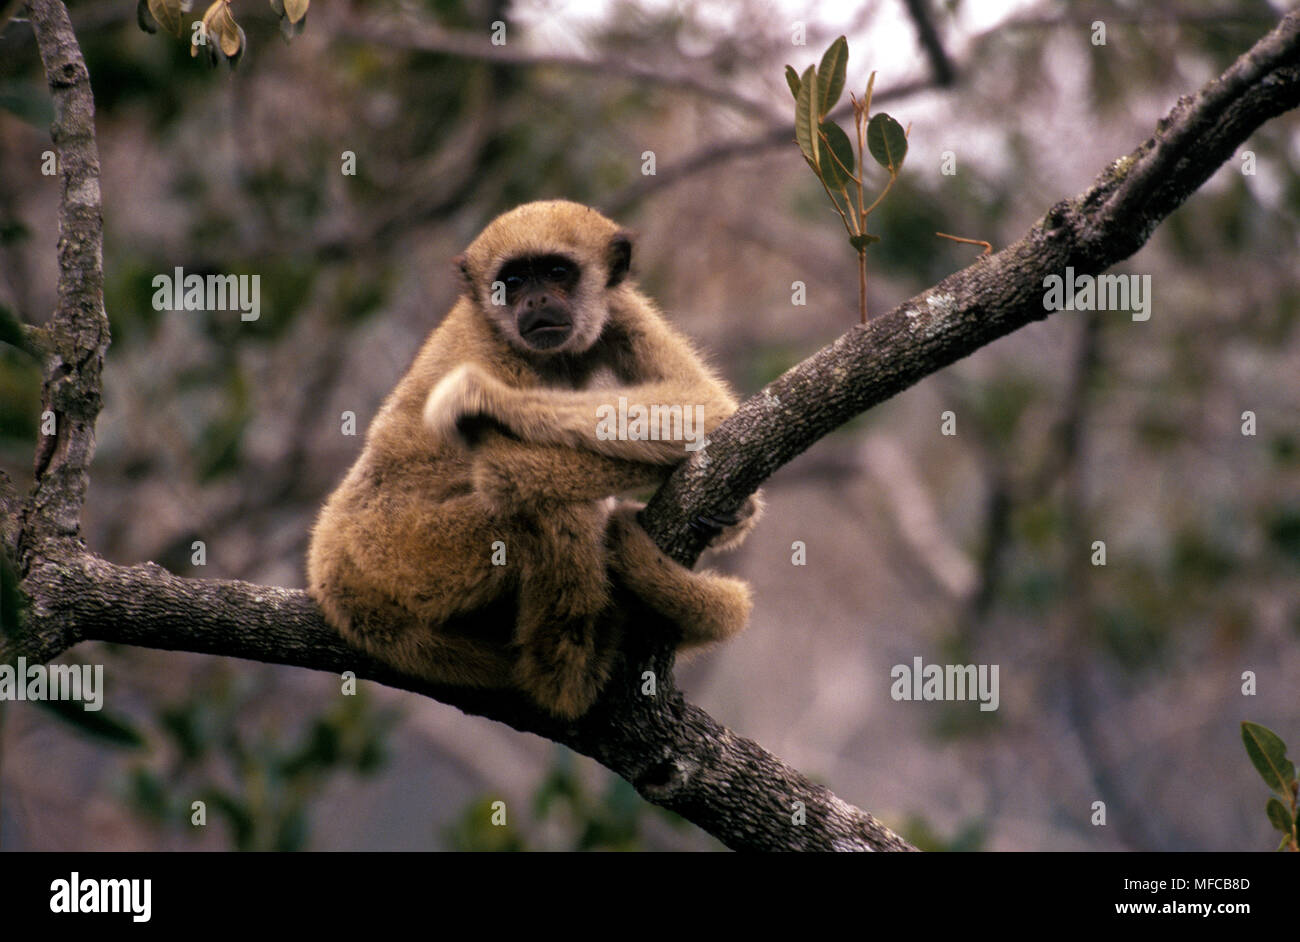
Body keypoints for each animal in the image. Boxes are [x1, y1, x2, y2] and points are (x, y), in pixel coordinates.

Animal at [307, 200, 761, 719]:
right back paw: (564, 680)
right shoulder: (489, 351)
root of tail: (329, 558)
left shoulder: (620, 307)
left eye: (557, 272)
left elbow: (704, 401)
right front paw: (487, 399)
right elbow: (504, 472)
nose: (536, 301)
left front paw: (732, 515)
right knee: (555, 510)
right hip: (400, 553)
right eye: (514, 281)